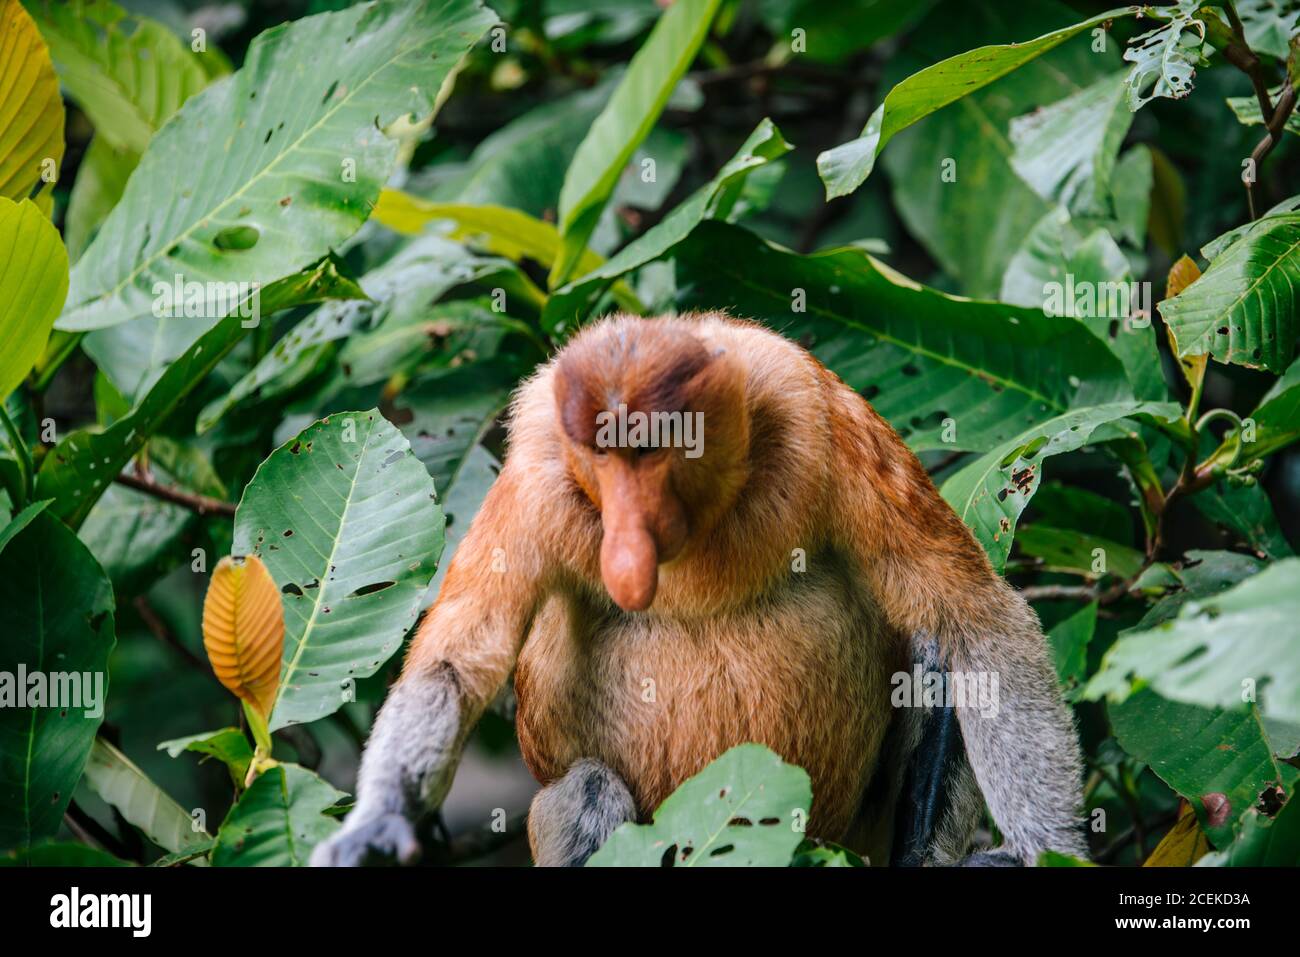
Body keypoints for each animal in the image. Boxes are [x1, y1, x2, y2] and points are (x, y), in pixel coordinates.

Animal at [310, 312, 1086, 868]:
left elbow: (973, 617)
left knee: (933, 650)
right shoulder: (534, 480)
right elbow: (456, 661)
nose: (628, 544)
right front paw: (375, 825)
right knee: (584, 790)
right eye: (602, 457)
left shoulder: (826, 419)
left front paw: (1048, 853)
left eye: (653, 450)